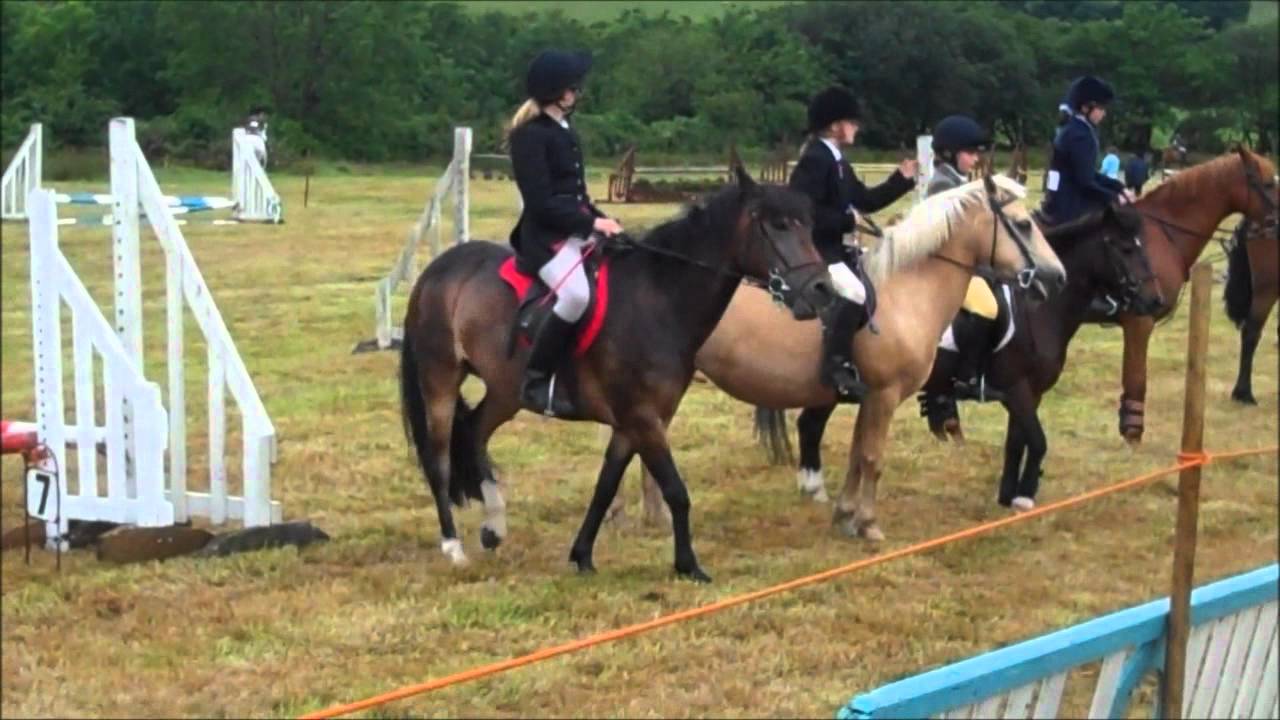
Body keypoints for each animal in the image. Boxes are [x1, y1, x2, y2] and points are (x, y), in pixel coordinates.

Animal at [398, 169, 834, 582]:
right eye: (778, 224)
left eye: (809, 224)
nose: (822, 290)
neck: (659, 298)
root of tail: (439, 269)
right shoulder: (643, 418)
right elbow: (676, 491)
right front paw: (688, 566)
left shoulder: (631, 423)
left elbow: (605, 486)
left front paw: (582, 556)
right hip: (440, 379)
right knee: (439, 461)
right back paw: (453, 547)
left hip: (506, 391)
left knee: (475, 432)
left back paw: (494, 527)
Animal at [626, 175, 1066, 541]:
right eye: (1024, 224)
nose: (1056, 276)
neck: (908, 291)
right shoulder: (885, 395)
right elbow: (872, 457)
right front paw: (868, 524)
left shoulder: (868, 397)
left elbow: (857, 455)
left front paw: (845, 514)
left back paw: (653, 517)